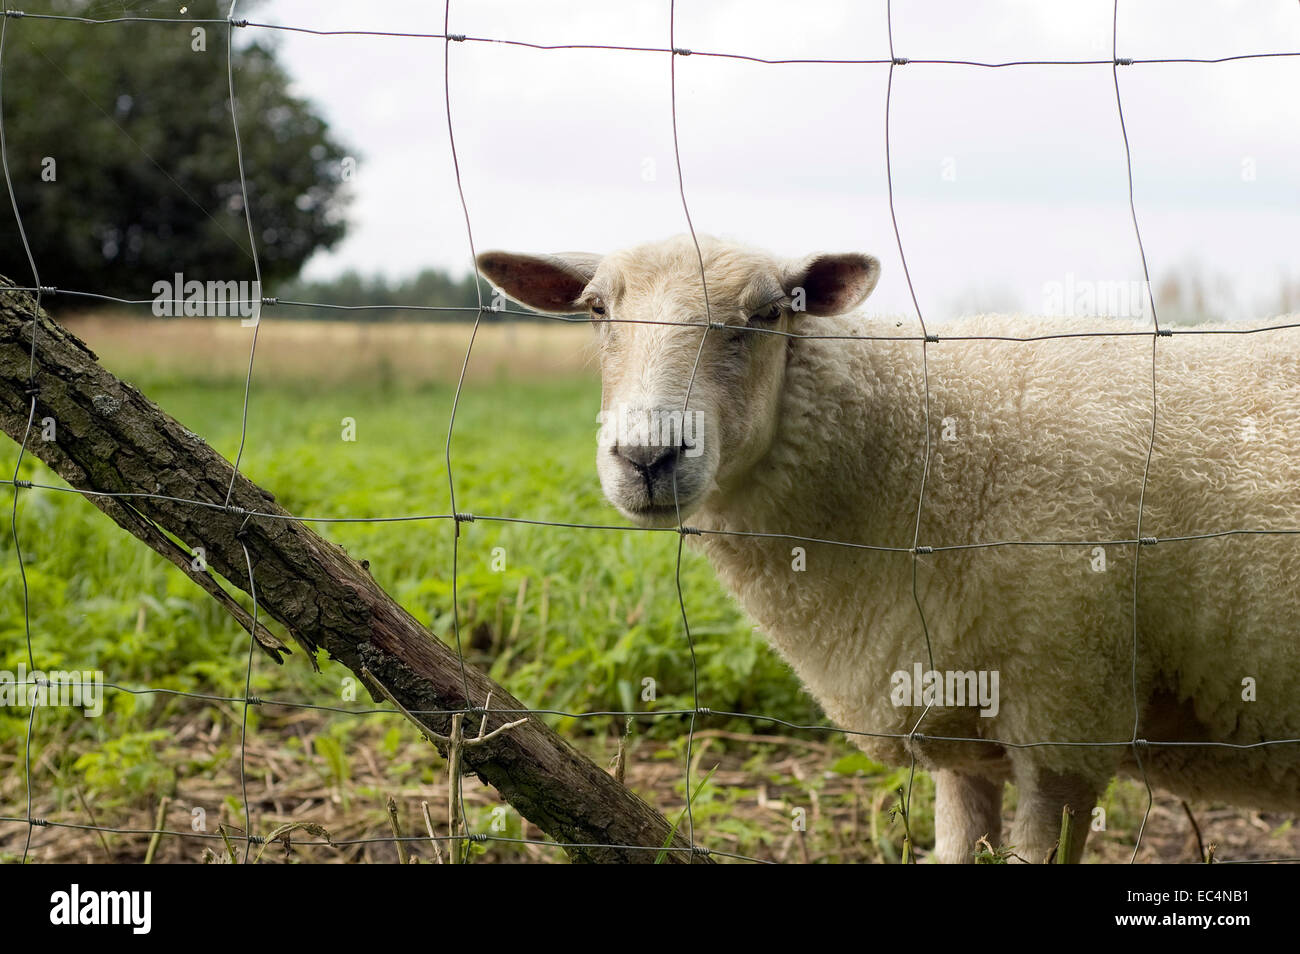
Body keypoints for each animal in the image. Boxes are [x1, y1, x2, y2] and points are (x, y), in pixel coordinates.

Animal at [477, 234, 1300, 863]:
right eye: (596, 311)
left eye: (769, 312)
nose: (647, 456)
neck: (917, 447)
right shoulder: (959, 722)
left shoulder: (1065, 716)